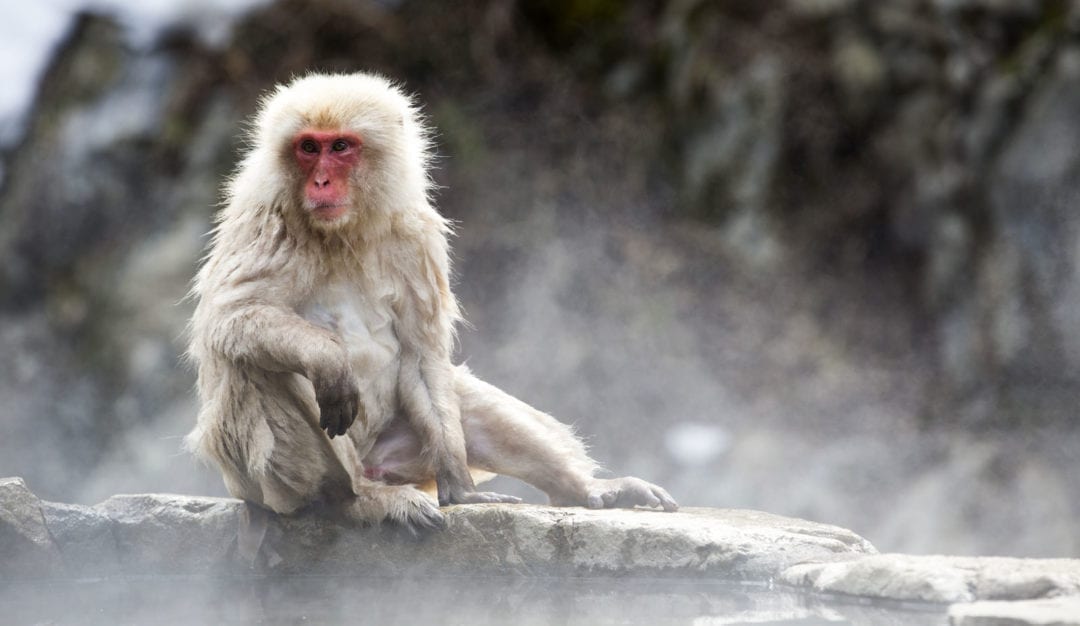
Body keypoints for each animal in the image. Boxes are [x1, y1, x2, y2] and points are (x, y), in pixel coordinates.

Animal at [185, 72, 678, 531]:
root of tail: (374, 467)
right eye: (308, 147)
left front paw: (460, 485)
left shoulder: (416, 237)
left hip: (405, 453)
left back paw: (584, 489)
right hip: (267, 483)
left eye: (340, 146)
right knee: (262, 365)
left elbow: (422, 355)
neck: (344, 233)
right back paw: (358, 499)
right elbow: (229, 319)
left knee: (459, 396)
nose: (321, 181)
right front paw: (326, 356)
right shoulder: (266, 222)